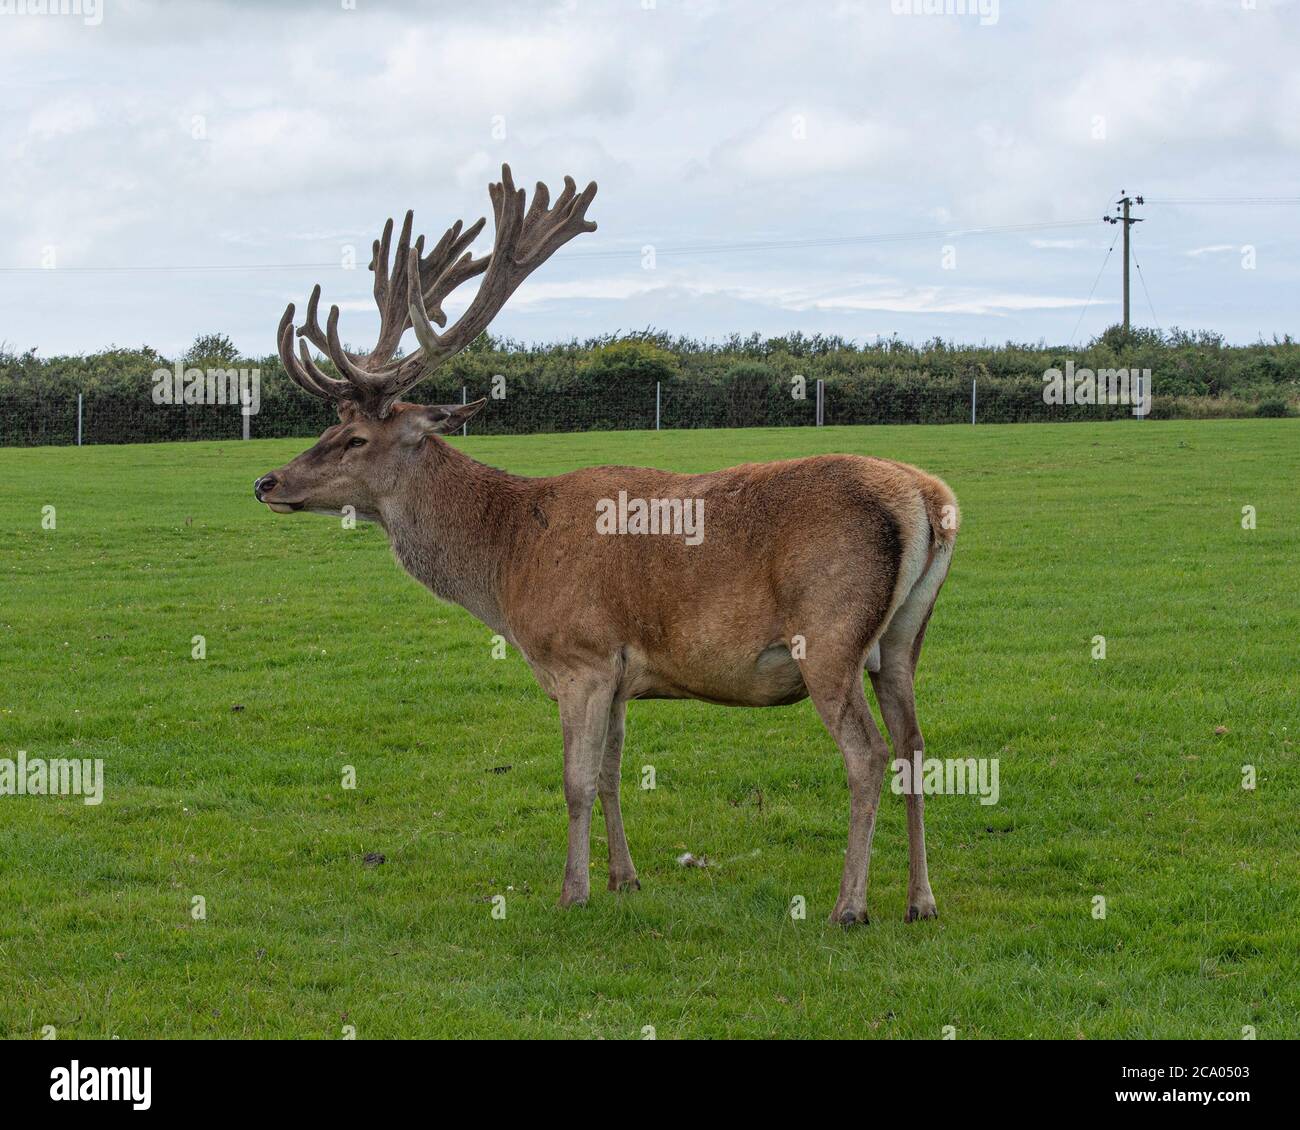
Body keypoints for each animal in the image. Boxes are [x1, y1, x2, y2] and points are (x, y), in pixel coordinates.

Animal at [254, 165, 960, 925]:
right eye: (330, 427)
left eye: (355, 439)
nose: (267, 481)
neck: (507, 561)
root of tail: (928, 500)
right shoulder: (624, 672)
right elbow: (617, 773)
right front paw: (626, 878)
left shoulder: (581, 656)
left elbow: (577, 781)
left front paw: (573, 890)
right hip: (902, 640)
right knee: (915, 746)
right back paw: (921, 900)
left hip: (827, 634)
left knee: (868, 755)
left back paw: (849, 906)